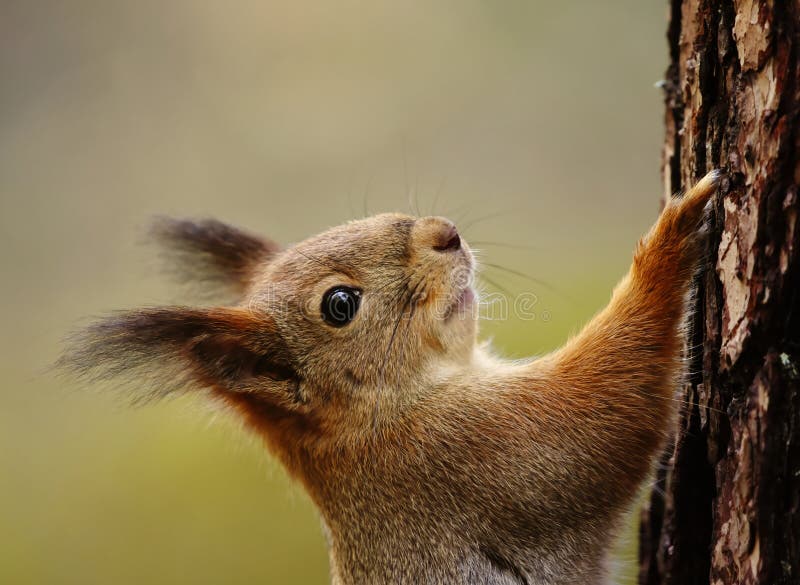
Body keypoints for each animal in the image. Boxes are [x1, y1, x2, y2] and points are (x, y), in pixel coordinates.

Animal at [62, 170, 721, 584]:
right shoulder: (478, 456)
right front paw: (672, 239)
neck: (373, 423)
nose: (444, 233)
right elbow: (604, 412)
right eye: (339, 305)